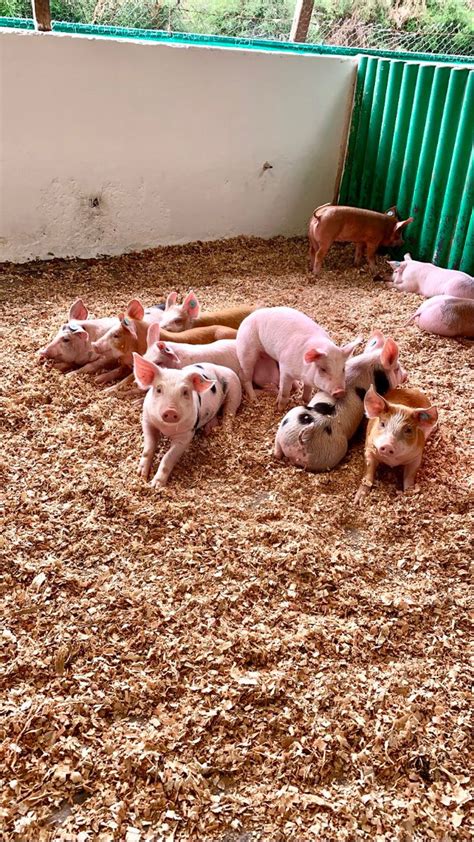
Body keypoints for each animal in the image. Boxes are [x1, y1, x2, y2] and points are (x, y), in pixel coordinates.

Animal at [133, 353, 242, 487]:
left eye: (185, 392)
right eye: (158, 389)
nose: (171, 411)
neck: (166, 428)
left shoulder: (186, 434)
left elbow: (168, 457)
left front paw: (156, 485)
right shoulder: (148, 421)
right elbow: (148, 449)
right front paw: (141, 476)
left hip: (235, 391)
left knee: (229, 414)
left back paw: (225, 432)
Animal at [274, 330, 408, 471]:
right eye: (397, 368)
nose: (406, 375)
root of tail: (304, 438)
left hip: (288, 421)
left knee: (277, 451)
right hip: (335, 451)